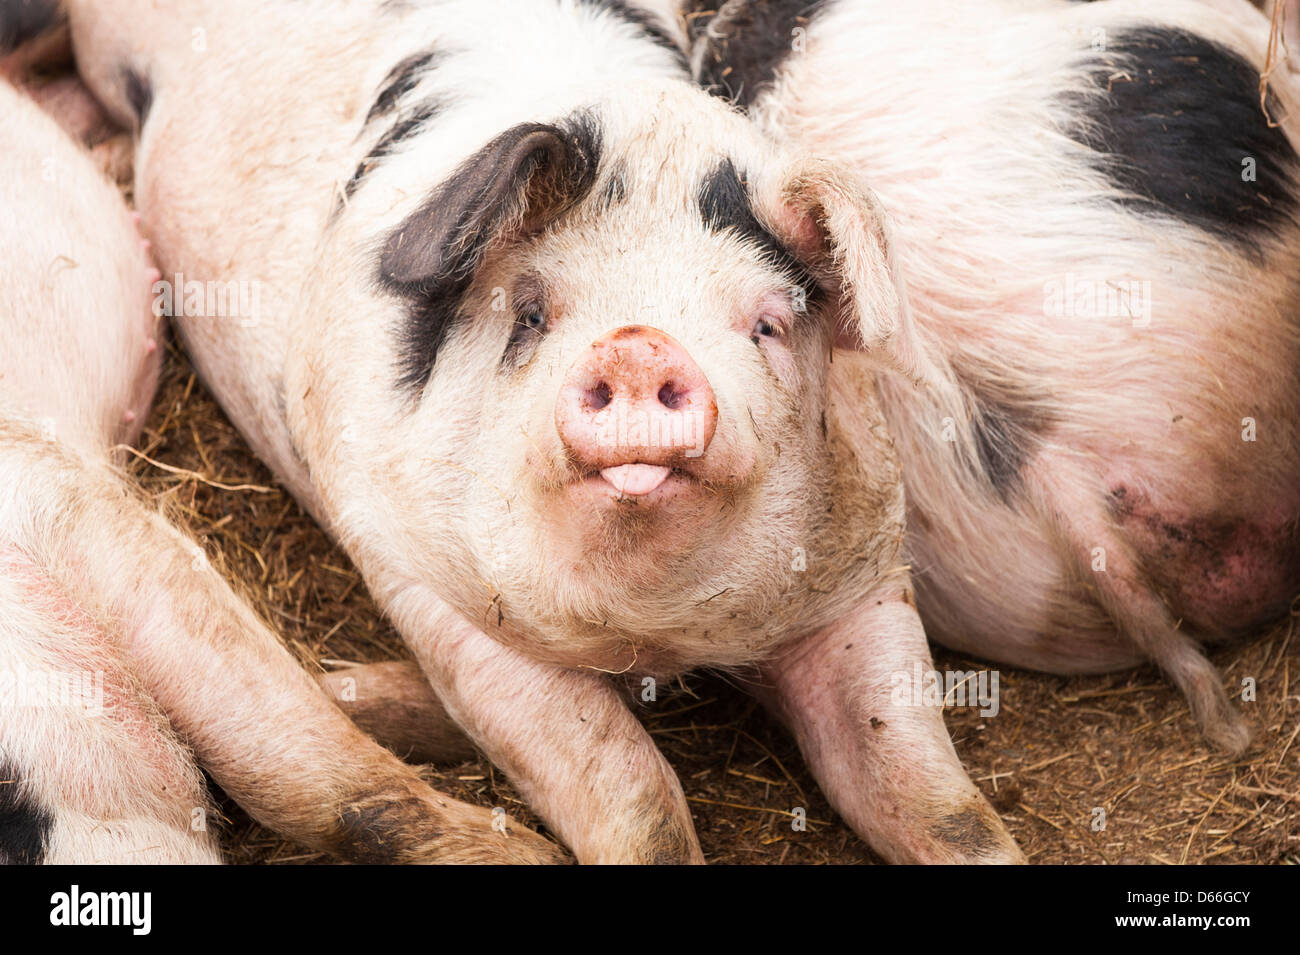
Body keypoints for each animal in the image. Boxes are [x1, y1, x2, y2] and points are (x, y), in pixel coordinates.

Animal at [61, 0, 1024, 863]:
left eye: (768, 323)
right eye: (529, 312)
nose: (638, 342)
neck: (654, 632)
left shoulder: (864, 575)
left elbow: (934, 800)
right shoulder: (431, 587)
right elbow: (630, 789)